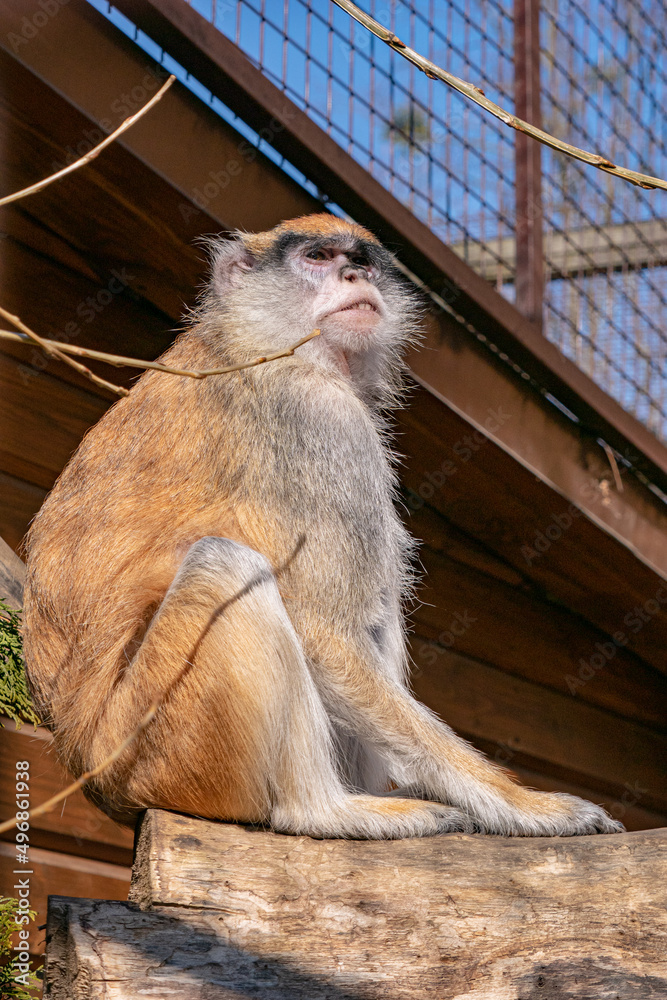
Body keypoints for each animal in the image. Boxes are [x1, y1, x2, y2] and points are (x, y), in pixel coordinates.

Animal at [22, 213, 622, 839]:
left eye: (363, 261)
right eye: (318, 257)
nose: (355, 276)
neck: (257, 339)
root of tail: (85, 763)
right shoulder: (317, 416)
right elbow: (324, 630)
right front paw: (527, 806)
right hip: (157, 741)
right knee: (224, 566)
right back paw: (326, 809)